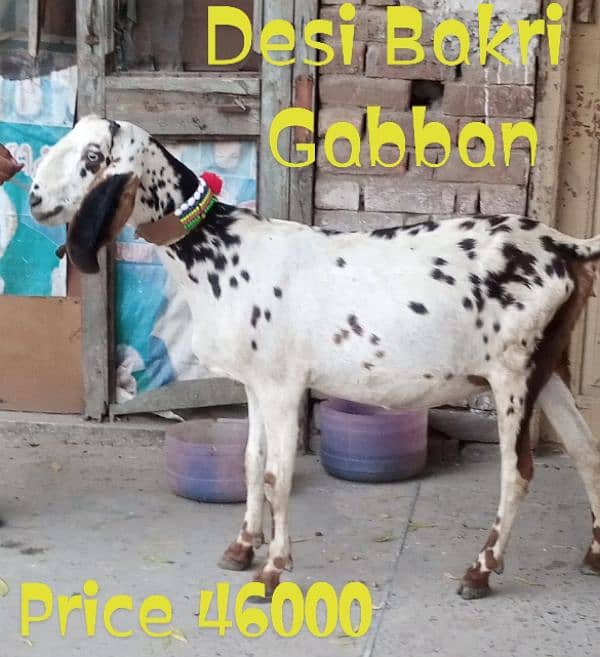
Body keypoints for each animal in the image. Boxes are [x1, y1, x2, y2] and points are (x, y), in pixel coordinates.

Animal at [30, 115, 600, 600]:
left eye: (93, 157)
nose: (35, 197)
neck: (220, 250)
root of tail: (566, 246)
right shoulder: (255, 383)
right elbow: (250, 462)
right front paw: (242, 547)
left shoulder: (284, 385)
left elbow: (277, 476)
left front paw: (272, 571)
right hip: (549, 368)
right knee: (585, 450)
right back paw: (592, 554)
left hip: (513, 372)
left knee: (518, 471)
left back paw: (480, 571)